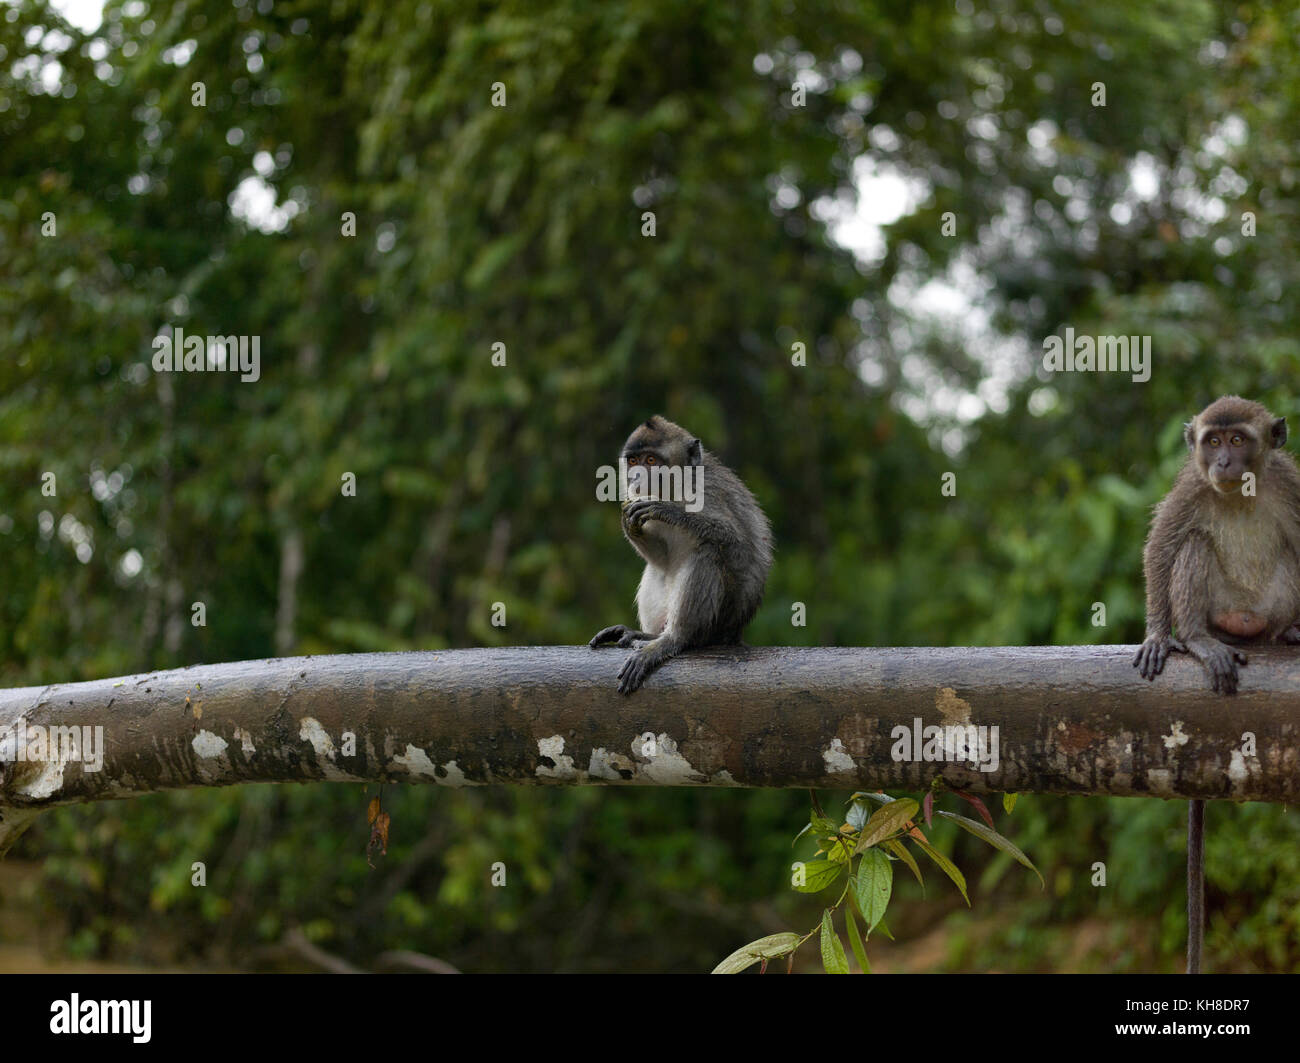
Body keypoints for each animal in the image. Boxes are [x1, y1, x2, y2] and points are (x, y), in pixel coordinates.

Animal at [590, 416, 773, 694]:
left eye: (650, 461)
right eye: (633, 461)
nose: (634, 478)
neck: (676, 488)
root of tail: (733, 634)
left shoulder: (707, 491)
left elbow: (739, 547)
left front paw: (669, 511)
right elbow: (661, 558)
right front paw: (628, 524)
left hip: (718, 623)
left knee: (708, 553)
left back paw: (673, 639)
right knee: (658, 569)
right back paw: (649, 636)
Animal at [1133, 395, 1300, 695]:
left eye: (1236, 440)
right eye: (1213, 442)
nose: (1222, 462)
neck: (1241, 492)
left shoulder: (1288, 482)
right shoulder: (1192, 486)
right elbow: (1161, 547)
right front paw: (1158, 636)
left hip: (1271, 612)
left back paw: (1286, 631)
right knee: (1196, 541)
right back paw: (1197, 638)